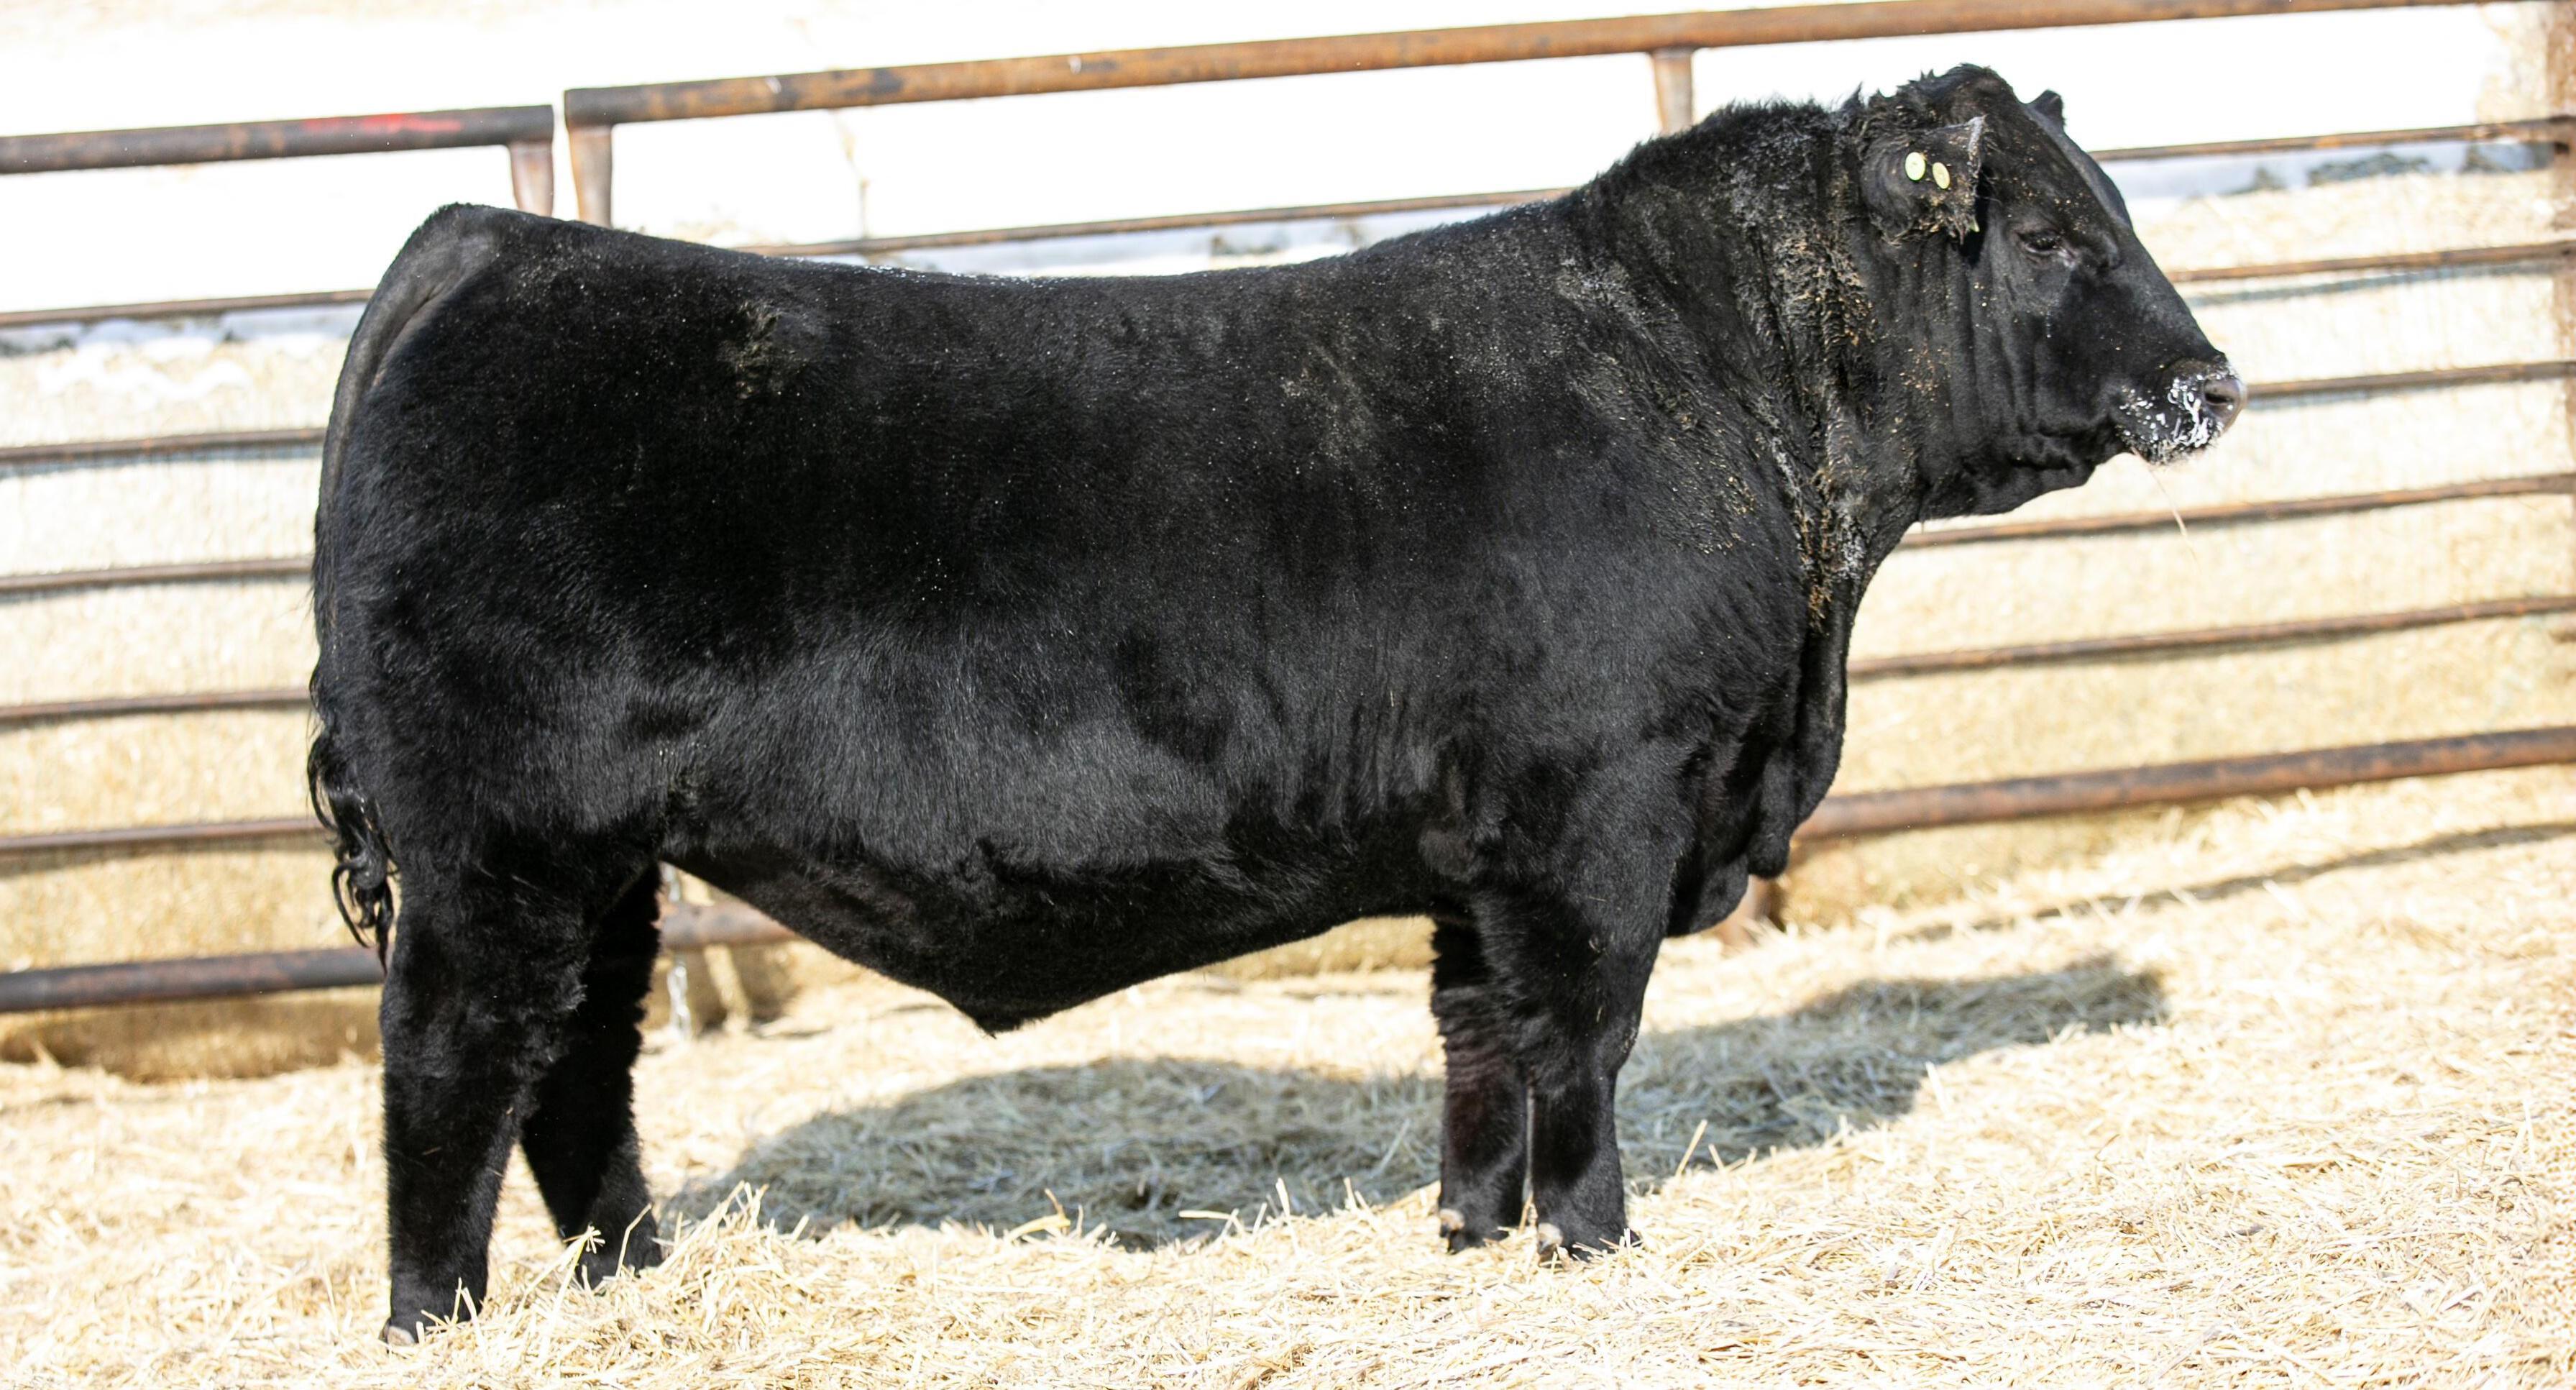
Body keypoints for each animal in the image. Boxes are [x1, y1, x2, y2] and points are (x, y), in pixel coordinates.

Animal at [310, 65, 2238, 1341]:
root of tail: (482, 244)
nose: (2210, 380)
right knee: (455, 1061)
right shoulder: (1598, 808)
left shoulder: (1481, 845)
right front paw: (1592, 1245)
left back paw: (633, 1283)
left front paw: (1471, 1235)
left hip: (604, 862)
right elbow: (1582, 1038)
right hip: (497, 847)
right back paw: (437, 1320)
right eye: (2049, 236)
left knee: (579, 1069)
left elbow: (1477, 1041)